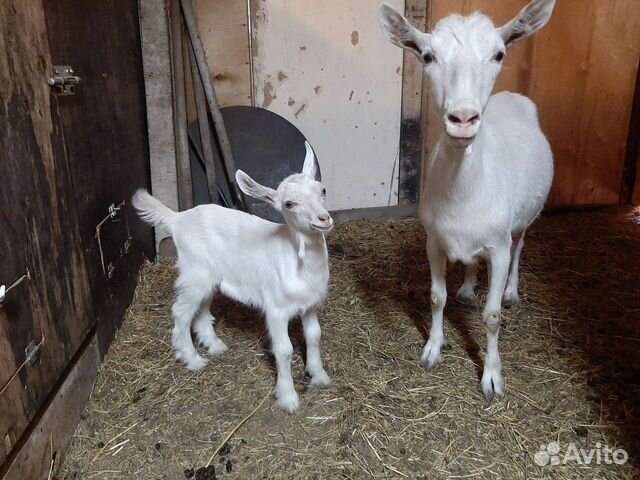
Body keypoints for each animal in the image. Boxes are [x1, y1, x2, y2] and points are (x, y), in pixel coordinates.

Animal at [132, 142, 333, 413]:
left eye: (322, 190)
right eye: (289, 204)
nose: (324, 219)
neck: (298, 259)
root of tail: (178, 219)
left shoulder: (310, 304)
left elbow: (314, 336)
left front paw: (319, 375)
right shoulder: (277, 309)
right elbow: (284, 350)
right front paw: (288, 397)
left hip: (209, 278)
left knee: (201, 310)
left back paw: (214, 346)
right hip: (195, 273)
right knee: (181, 312)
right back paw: (191, 358)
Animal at [379, 0, 555, 400]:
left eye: (499, 54)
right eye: (428, 56)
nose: (462, 118)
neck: (462, 191)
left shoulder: (499, 245)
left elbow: (491, 317)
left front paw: (491, 377)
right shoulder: (434, 239)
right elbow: (435, 297)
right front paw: (433, 348)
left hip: (524, 219)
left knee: (521, 246)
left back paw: (510, 292)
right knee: (472, 262)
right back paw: (468, 287)